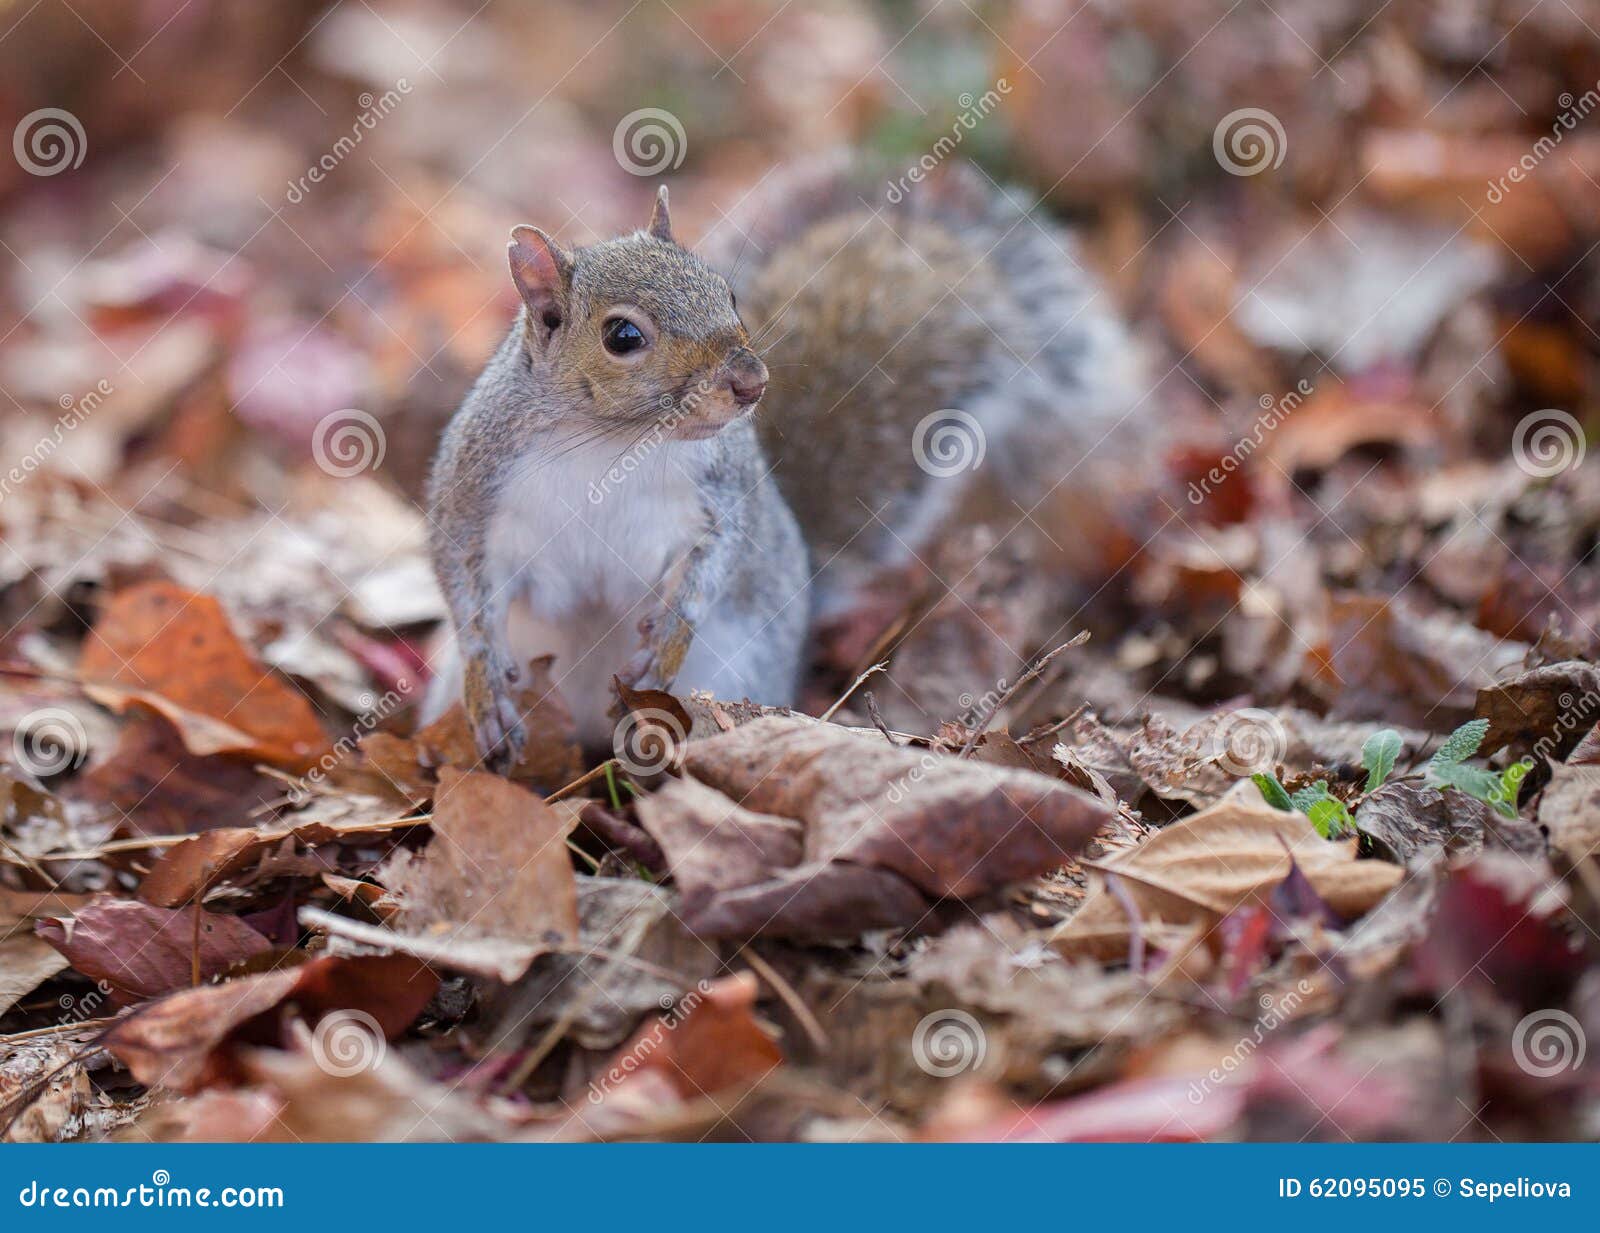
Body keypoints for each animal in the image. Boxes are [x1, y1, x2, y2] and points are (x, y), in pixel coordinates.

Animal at [423, 156, 1141, 767]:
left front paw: (669, 638)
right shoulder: (474, 490)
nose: (750, 382)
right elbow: (464, 586)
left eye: (728, 294)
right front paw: (486, 684)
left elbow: (712, 566)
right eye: (622, 336)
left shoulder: (722, 495)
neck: (610, 443)